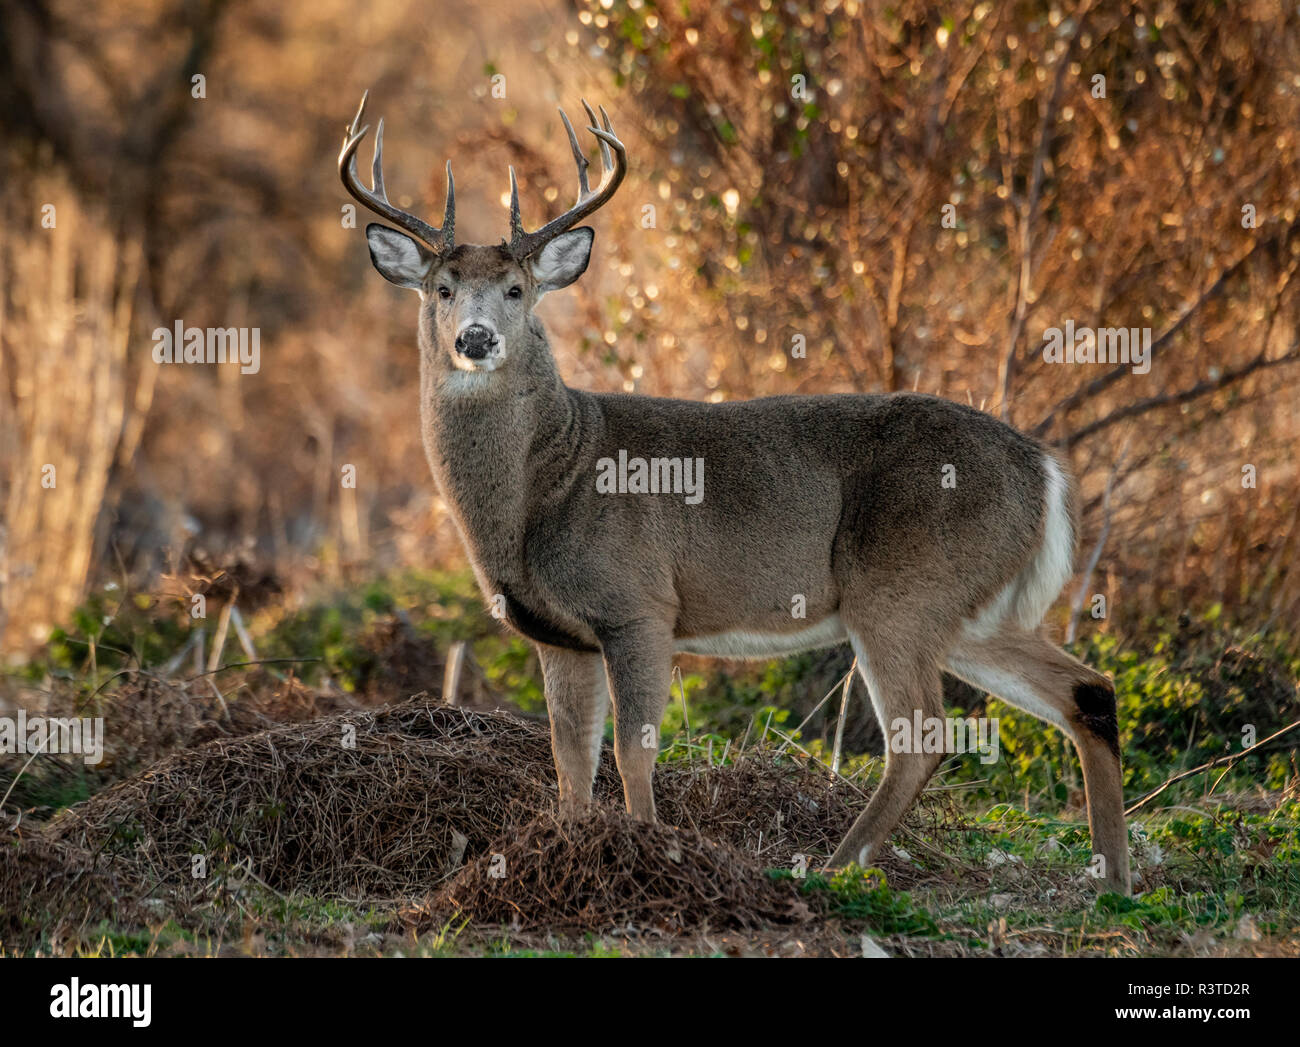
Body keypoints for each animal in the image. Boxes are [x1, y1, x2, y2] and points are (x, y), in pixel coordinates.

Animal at [339, 92, 1132, 894]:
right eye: (441, 289)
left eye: (516, 290)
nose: (475, 339)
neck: (547, 484)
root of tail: (1044, 467)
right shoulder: (558, 634)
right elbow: (570, 759)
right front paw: (564, 849)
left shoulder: (639, 603)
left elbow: (631, 749)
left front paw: (645, 850)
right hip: (971, 608)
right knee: (1088, 691)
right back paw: (1114, 881)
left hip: (899, 588)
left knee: (924, 733)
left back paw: (831, 869)